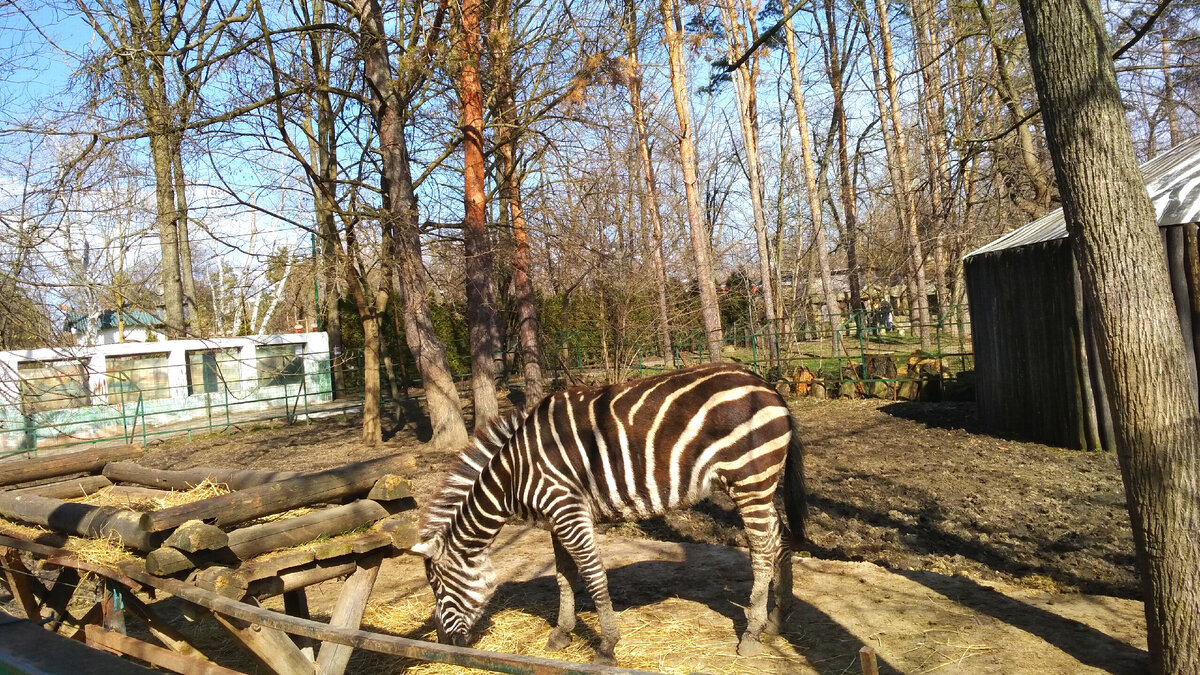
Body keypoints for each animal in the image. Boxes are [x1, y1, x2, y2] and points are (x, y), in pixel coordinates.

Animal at [412, 362, 806, 662]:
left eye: (438, 586)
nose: (445, 644)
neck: (515, 474)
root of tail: (767, 385)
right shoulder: (555, 518)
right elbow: (564, 576)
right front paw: (562, 633)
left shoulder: (567, 511)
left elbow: (594, 577)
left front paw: (607, 645)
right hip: (760, 485)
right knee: (780, 539)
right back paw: (777, 620)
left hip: (749, 480)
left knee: (762, 551)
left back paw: (752, 634)